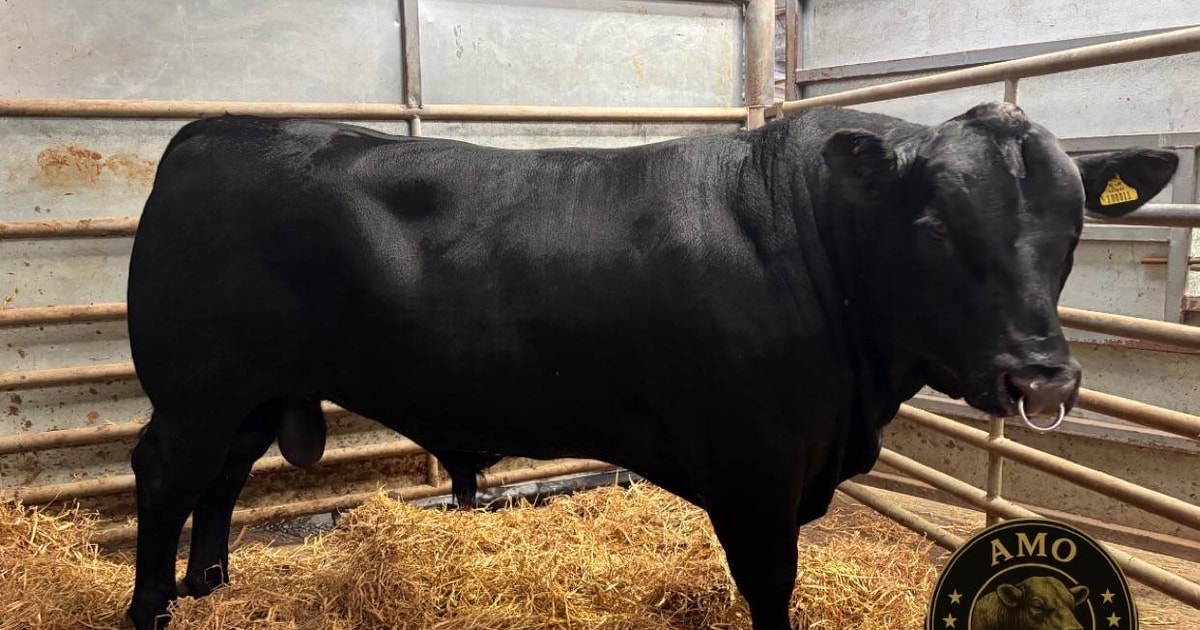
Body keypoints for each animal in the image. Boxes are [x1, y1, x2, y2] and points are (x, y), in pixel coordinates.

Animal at [122, 102, 1176, 630]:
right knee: (166, 480)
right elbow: (769, 587)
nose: (1042, 378)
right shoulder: (756, 472)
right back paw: (151, 608)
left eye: (1073, 226)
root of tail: (212, 130)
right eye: (936, 227)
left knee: (221, 483)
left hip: (250, 394)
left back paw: (211, 587)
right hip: (195, 390)